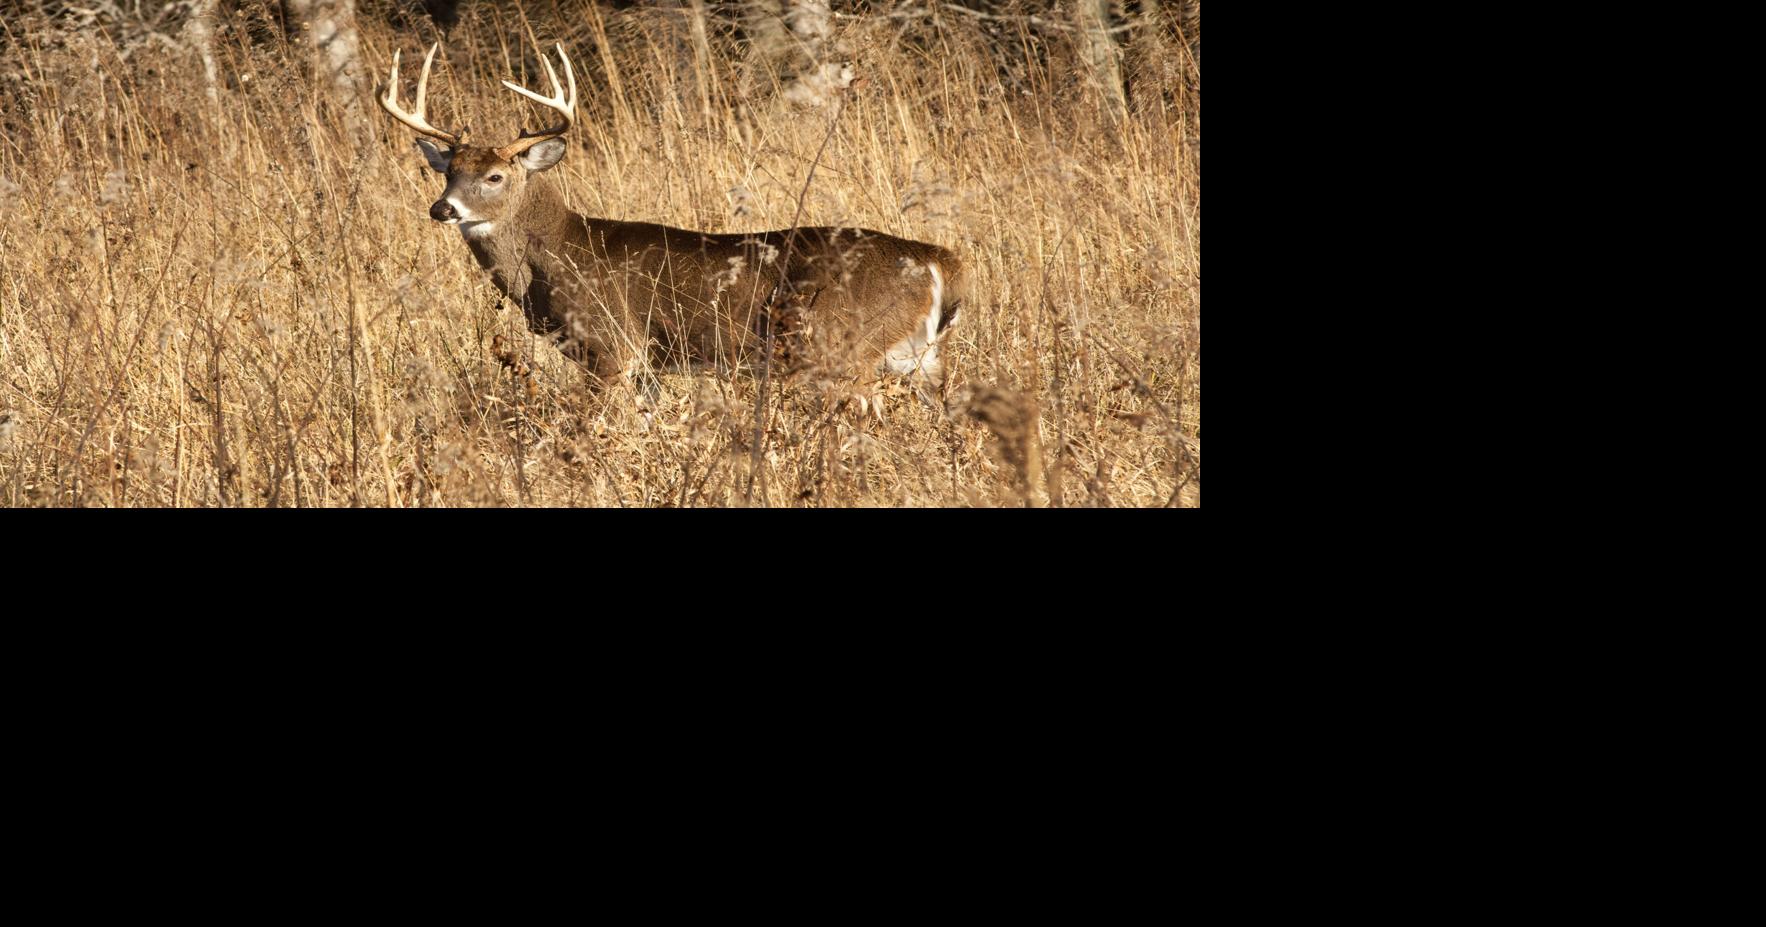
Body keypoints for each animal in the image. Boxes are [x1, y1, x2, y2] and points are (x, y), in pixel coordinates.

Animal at [377, 43, 964, 405]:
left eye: (495, 176)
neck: (557, 258)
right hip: (920, 359)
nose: (443, 209)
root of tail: (936, 260)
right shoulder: (651, 368)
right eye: (448, 171)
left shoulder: (612, 347)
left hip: (843, 348)